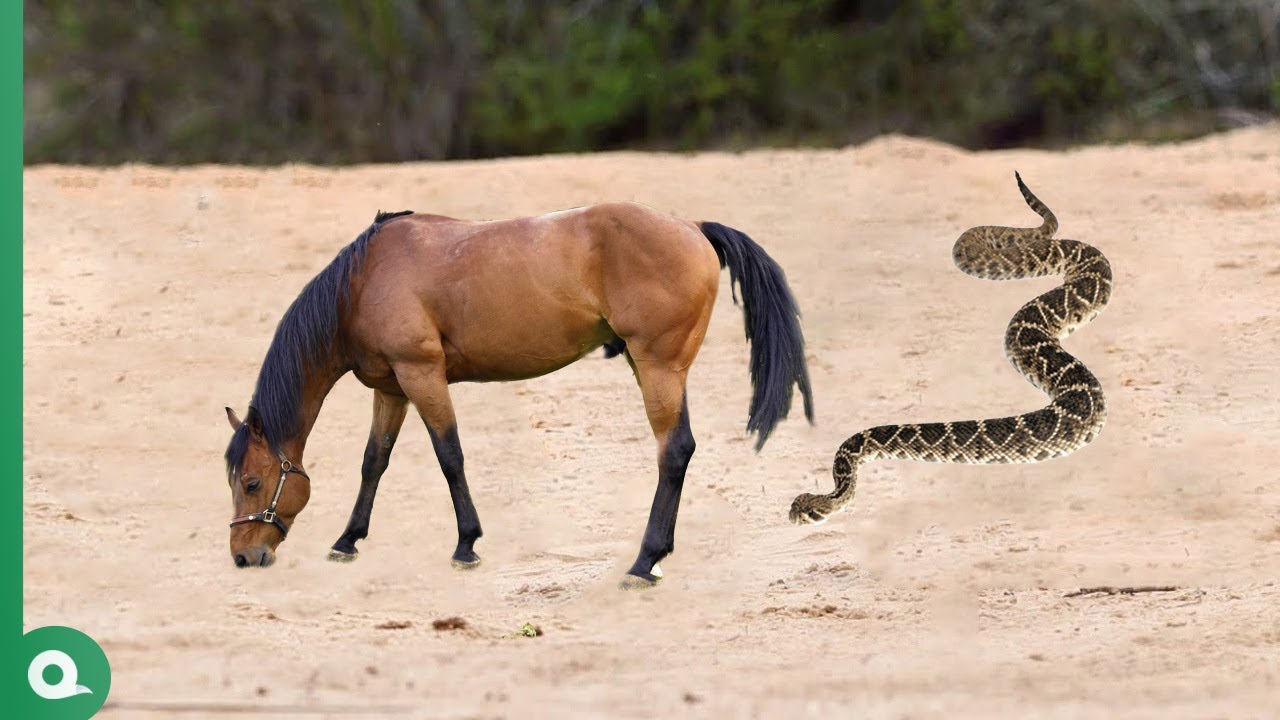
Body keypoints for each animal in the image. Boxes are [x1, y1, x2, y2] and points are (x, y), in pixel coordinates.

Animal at [223, 201, 813, 588]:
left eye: (252, 483)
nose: (244, 556)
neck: (366, 279)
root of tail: (692, 227)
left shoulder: (422, 375)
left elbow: (450, 456)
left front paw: (466, 544)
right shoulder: (392, 388)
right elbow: (375, 461)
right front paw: (348, 540)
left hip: (657, 368)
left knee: (674, 451)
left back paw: (644, 561)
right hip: (657, 370)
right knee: (681, 450)